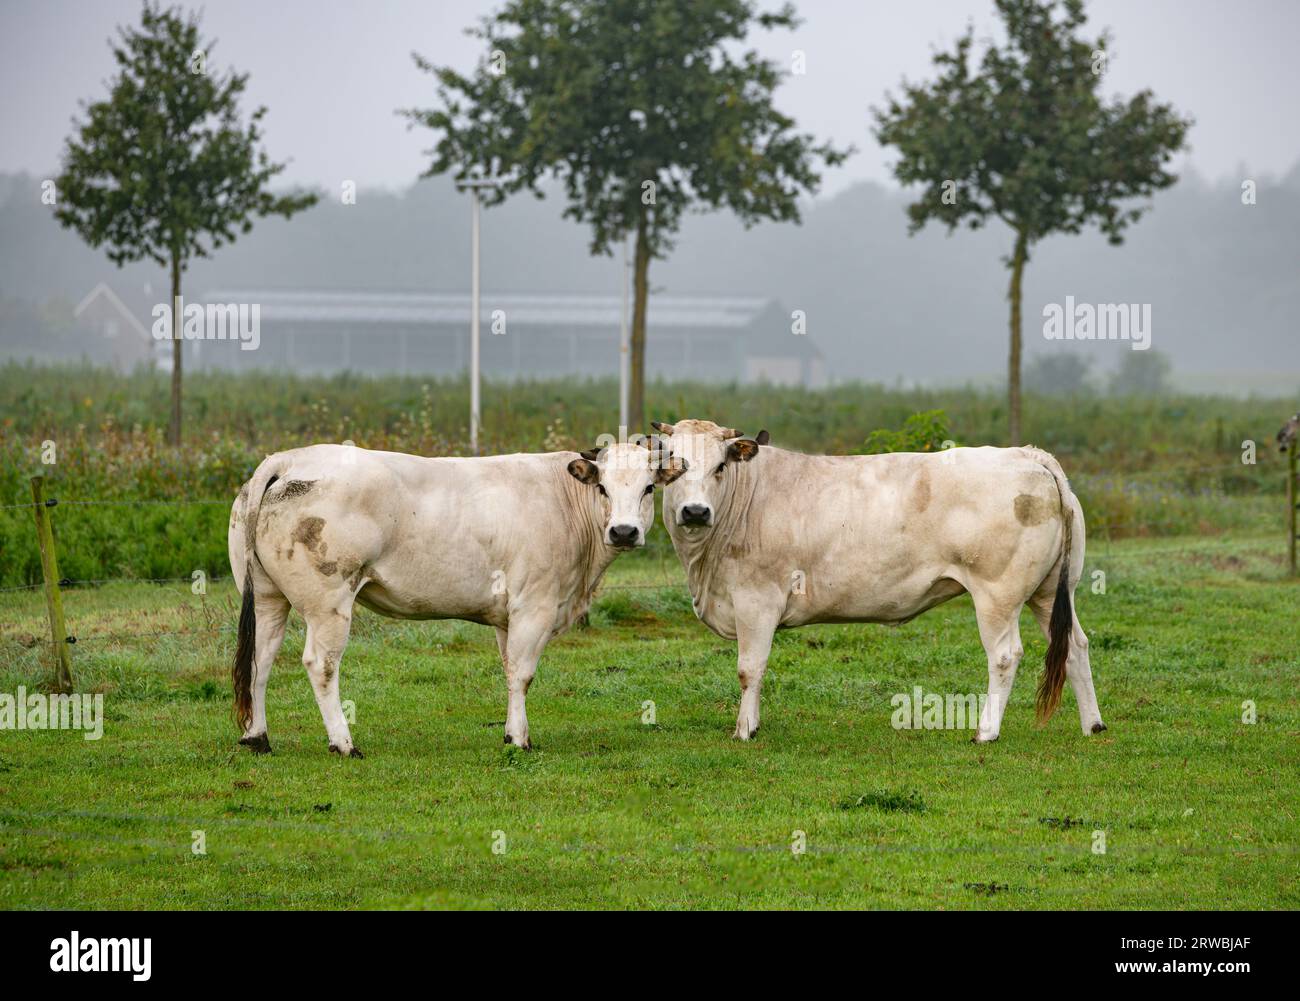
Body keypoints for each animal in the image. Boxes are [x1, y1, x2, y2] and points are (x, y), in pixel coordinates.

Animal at [227, 440, 686, 756]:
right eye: (604, 489)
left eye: (649, 488)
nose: (623, 531)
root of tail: (289, 458)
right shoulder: (534, 605)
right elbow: (523, 673)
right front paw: (520, 740)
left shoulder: (507, 615)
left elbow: (509, 670)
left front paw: (511, 731)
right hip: (329, 601)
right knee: (320, 665)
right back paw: (343, 742)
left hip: (268, 596)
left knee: (260, 659)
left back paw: (257, 737)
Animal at [650, 419, 1104, 744]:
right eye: (672, 465)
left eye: (719, 466)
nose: (695, 511)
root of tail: (1028, 454)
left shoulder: (756, 600)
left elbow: (750, 668)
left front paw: (745, 730)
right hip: (1051, 590)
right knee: (1075, 645)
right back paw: (1093, 725)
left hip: (998, 593)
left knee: (1006, 654)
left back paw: (986, 731)